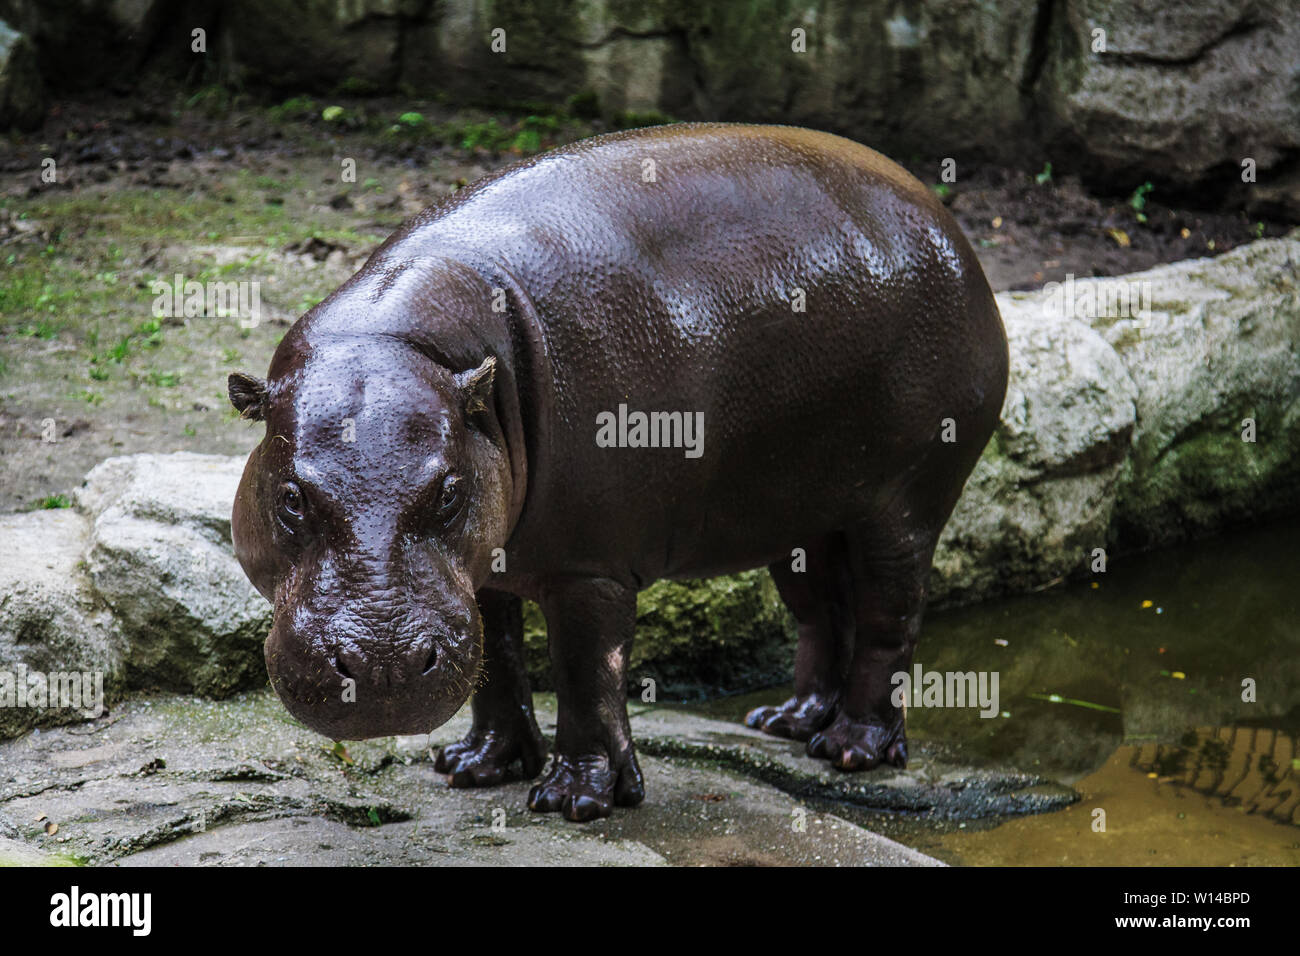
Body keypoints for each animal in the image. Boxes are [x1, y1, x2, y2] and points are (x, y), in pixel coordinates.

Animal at [228, 122, 1008, 822]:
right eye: (291, 496)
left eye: (448, 491)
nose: (381, 664)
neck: (402, 343)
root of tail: (949, 225)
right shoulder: (483, 563)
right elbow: (496, 658)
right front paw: (476, 768)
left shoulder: (591, 568)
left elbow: (584, 674)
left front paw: (576, 800)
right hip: (802, 511)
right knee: (822, 610)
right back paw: (788, 722)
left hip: (904, 501)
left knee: (888, 615)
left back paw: (852, 748)